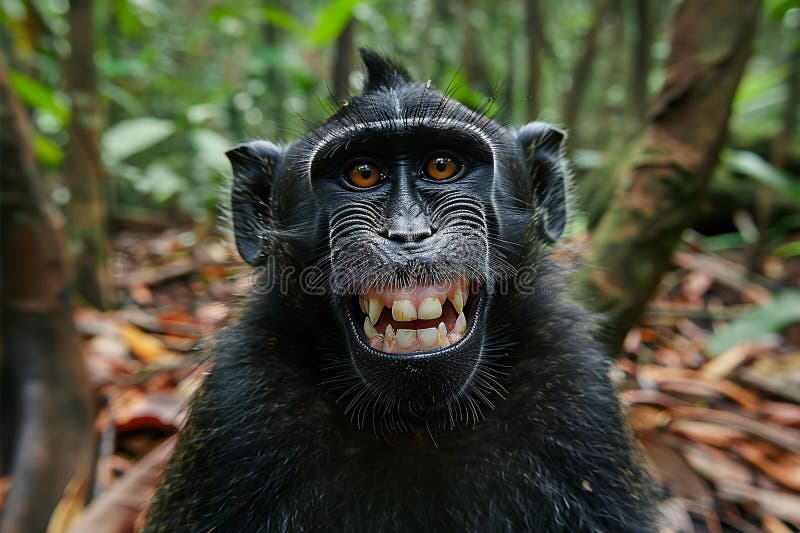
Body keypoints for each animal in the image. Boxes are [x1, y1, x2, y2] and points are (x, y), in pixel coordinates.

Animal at [143, 50, 658, 532]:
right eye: (363, 174)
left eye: (442, 166)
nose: (408, 233)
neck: (418, 425)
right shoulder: (237, 409)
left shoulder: (577, 395)